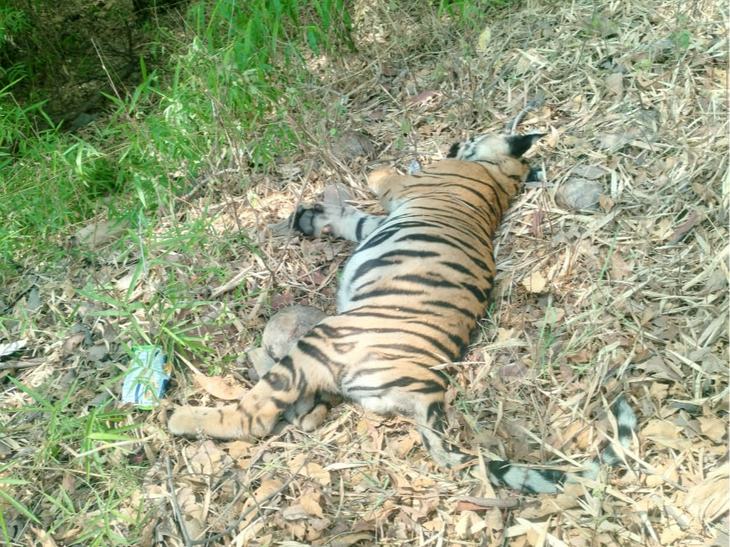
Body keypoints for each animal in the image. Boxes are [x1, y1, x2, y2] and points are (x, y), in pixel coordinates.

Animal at [168, 132, 637, 493]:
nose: (453, 142)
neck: (502, 178)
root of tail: (431, 393)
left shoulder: (403, 191)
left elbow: (383, 178)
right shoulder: (378, 223)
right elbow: (353, 219)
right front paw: (312, 217)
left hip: (323, 341)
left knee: (255, 416)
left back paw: (182, 417)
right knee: (306, 409)